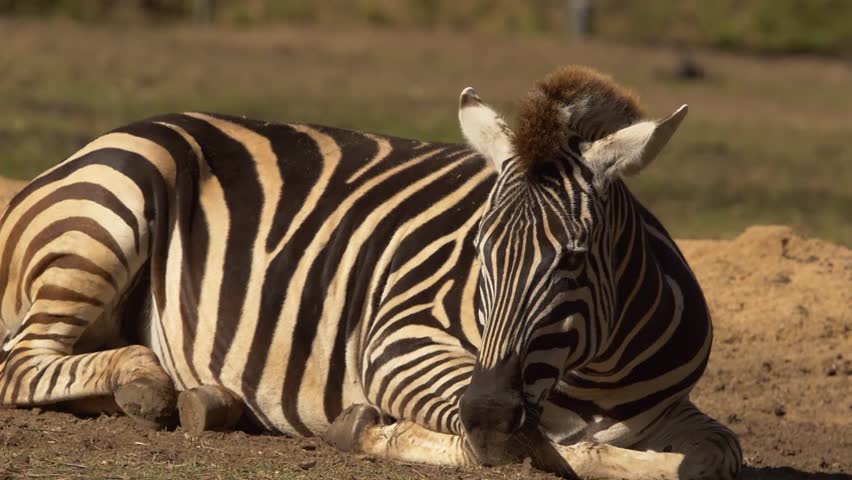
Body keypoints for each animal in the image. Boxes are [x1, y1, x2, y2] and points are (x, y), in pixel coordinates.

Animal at [0, 65, 741, 479]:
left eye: (576, 257)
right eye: (477, 249)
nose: (488, 410)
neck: (592, 378)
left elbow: (715, 454)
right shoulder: (398, 343)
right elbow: (552, 448)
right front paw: (370, 430)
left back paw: (201, 398)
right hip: (107, 209)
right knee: (21, 362)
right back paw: (144, 380)